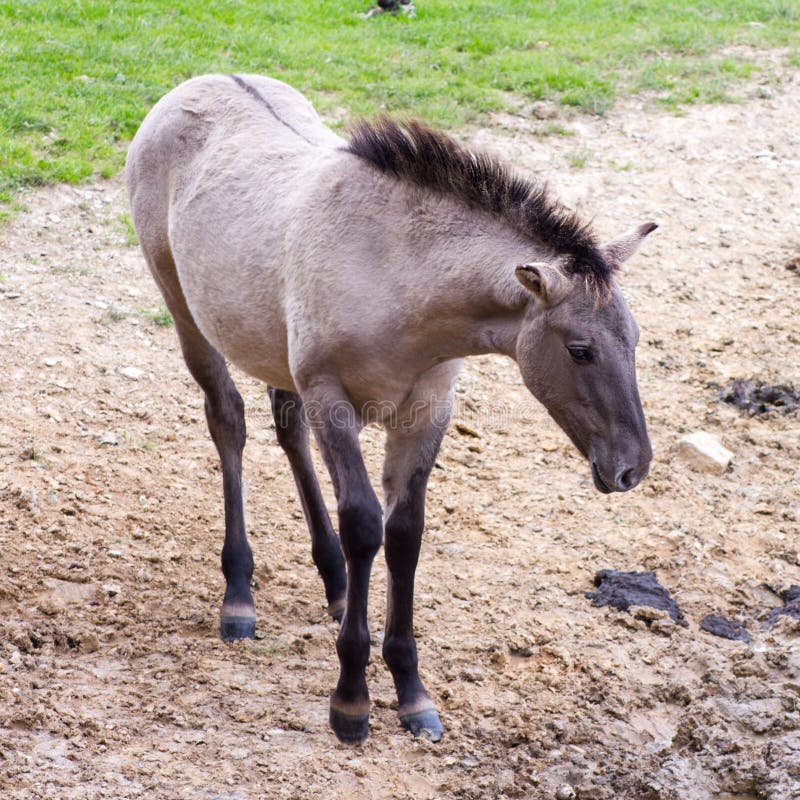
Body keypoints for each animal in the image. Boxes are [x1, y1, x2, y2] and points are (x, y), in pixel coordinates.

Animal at [125, 73, 655, 744]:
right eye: (580, 350)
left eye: (635, 339)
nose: (631, 467)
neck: (395, 276)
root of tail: (197, 84)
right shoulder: (333, 400)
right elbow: (363, 524)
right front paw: (351, 700)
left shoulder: (426, 413)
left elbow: (404, 533)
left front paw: (412, 693)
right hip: (185, 310)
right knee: (229, 421)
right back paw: (239, 596)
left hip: (273, 348)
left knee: (286, 428)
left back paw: (334, 583)